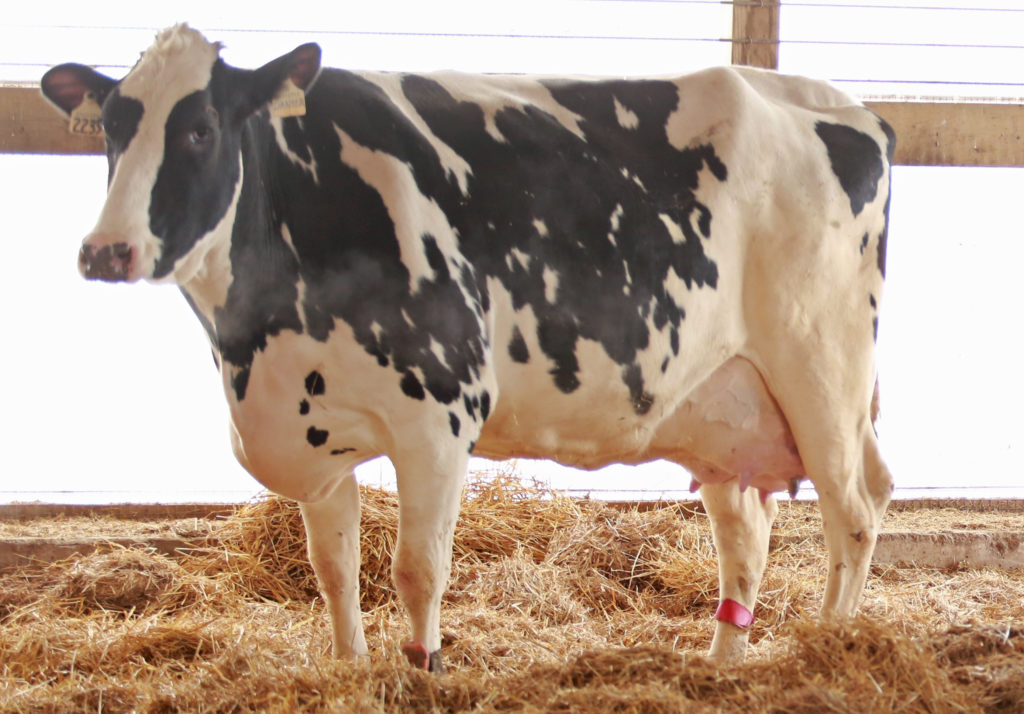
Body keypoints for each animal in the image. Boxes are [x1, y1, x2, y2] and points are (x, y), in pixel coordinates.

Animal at [42, 24, 895, 671]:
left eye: (200, 128)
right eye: (112, 126)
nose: (105, 250)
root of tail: (849, 109)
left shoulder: (437, 414)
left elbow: (418, 570)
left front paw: (424, 671)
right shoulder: (313, 431)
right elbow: (334, 570)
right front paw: (350, 665)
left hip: (823, 368)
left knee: (855, 509)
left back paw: (832, 645)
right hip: (722, 402)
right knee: (746, 537)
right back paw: (722, 663)